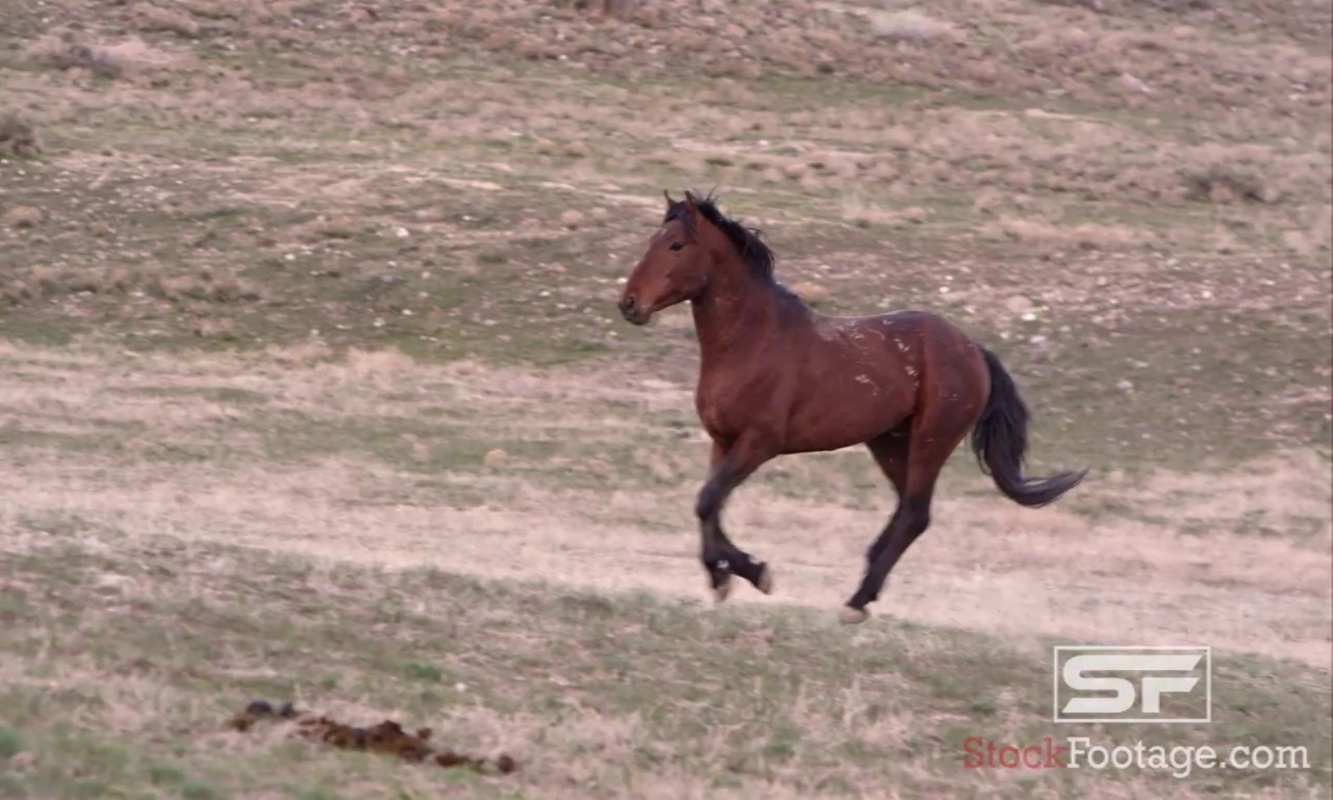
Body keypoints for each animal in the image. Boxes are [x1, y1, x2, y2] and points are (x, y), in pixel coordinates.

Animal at [616, 189, 1087, 624]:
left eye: (676, 245)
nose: (629, 304)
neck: (751, 341)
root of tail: (973, 348)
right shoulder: (723, 441)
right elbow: (709, 506)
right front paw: (724, 576)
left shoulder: (758, 444)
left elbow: (708, 501)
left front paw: (752, 572)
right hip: (890, 443)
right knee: (905, 510)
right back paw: (866, 581)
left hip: (931, 440)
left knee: (916, 514)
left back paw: (857, 601)